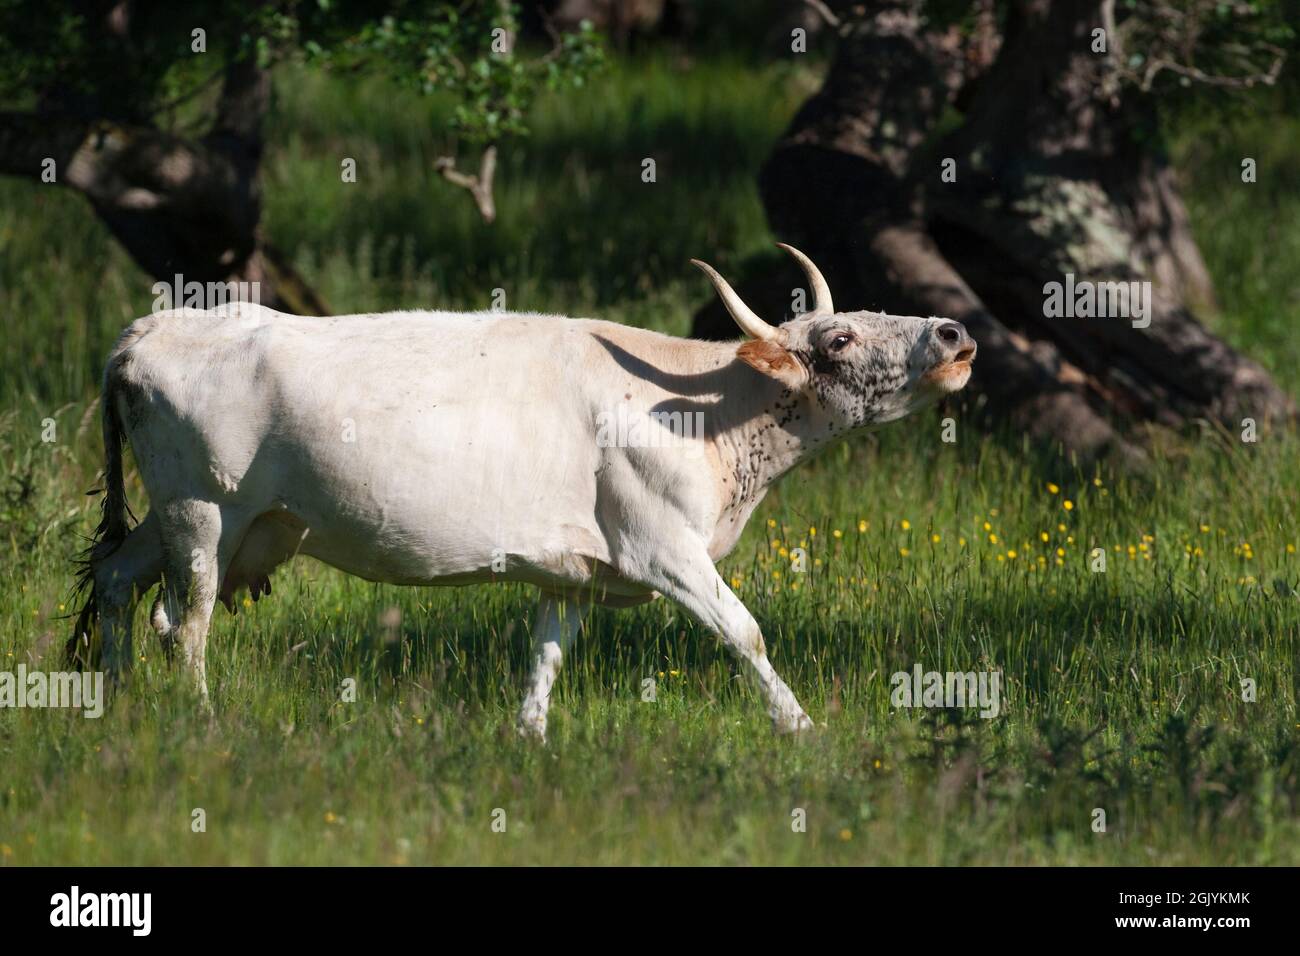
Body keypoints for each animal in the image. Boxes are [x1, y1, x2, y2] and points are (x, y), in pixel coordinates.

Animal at [69, 245, 975, 739]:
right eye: (840, 337)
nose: (954, 332)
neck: (707, 410)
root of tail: (146, 329)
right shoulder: (664, 548)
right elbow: (745, 632)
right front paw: (803, 729)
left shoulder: (573, 571)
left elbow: (546, 658)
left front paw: (528, 739)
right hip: (203, 513)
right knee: (184, 625)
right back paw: (198, 719)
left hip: (184, 518)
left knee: (116, 583)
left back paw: (114, 701)